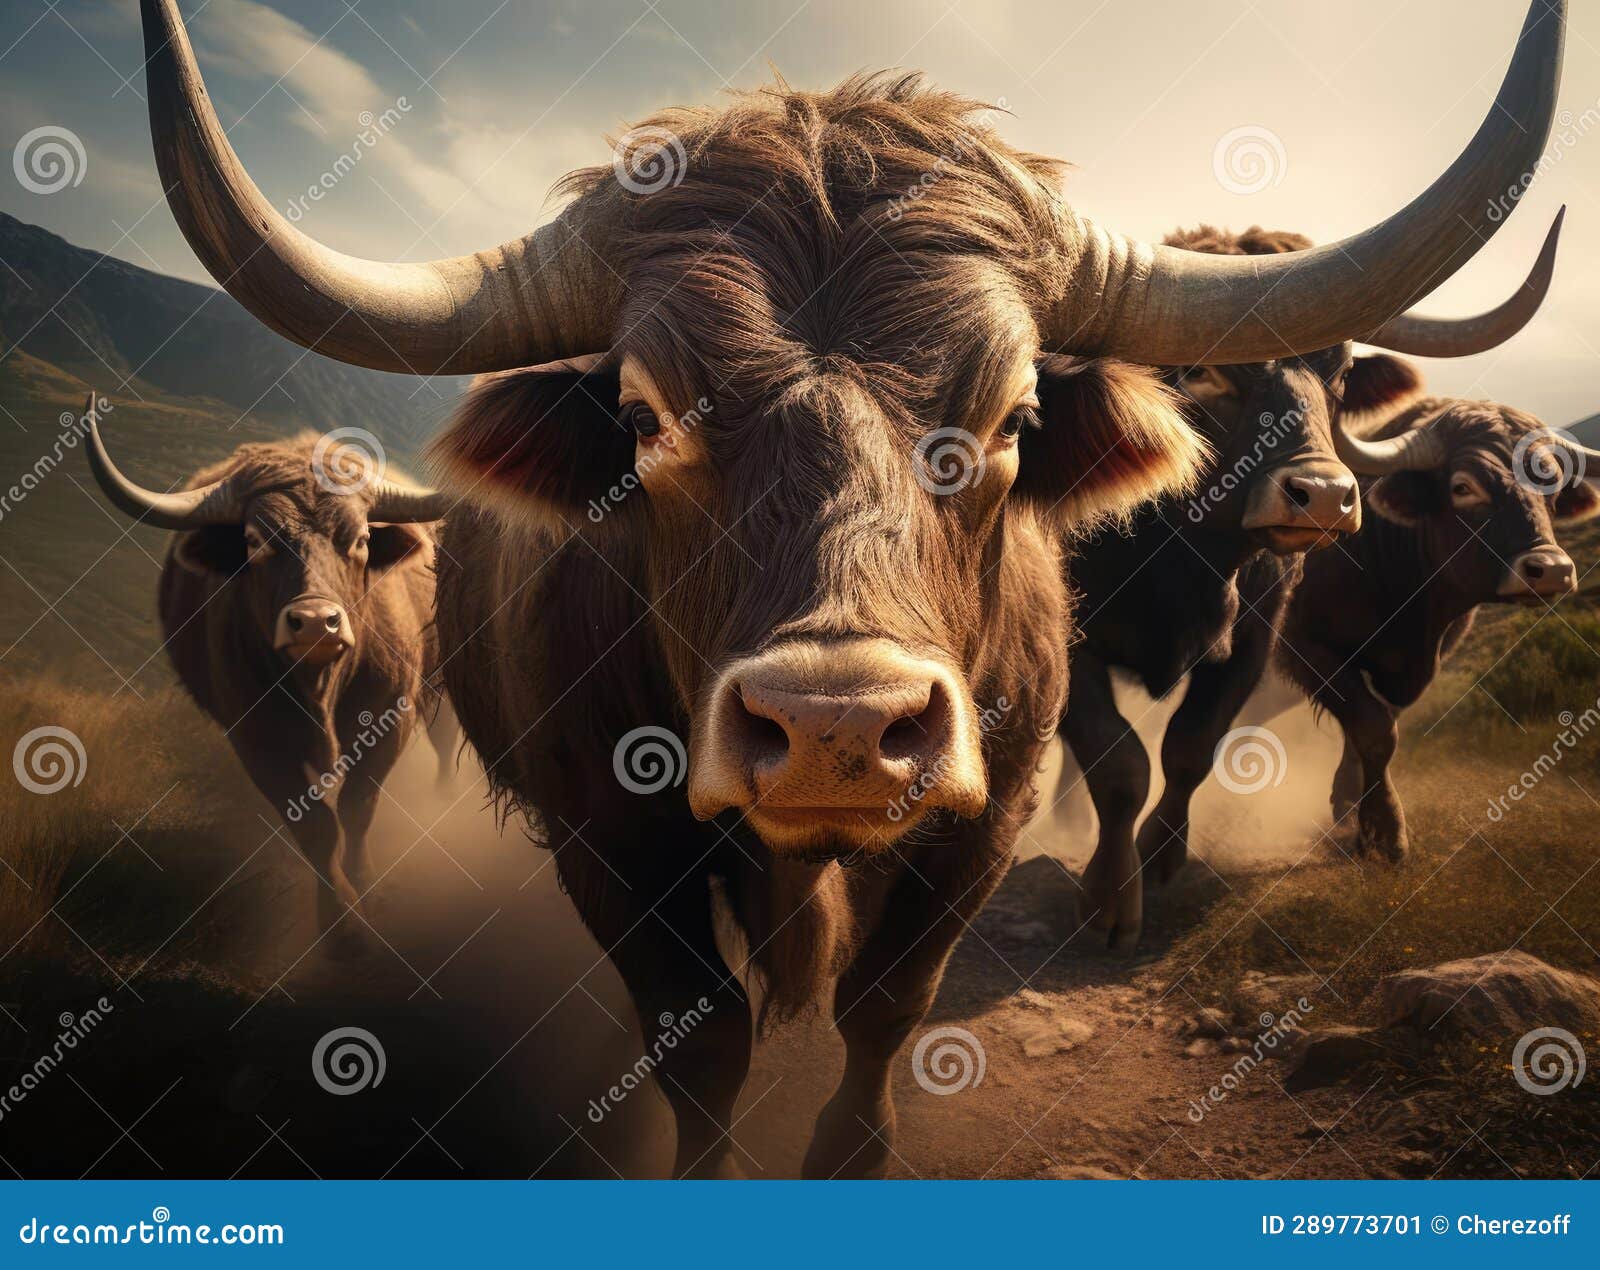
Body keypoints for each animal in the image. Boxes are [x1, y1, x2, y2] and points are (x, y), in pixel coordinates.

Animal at [83, 399, 455, 950]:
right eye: (256, 541)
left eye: (361, 538)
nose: (316, 621)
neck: (320, 685)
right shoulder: (255, 740)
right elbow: (316, 827)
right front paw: (341, 923)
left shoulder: (392, 714)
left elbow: (357, 807)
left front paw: (366, 888)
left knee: (445, 736)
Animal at [1058, 218, 1562, 950]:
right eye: (1199, 369)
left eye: (1342, 371)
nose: (1323, 496)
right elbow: (1116, 759)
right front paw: (1109, 898)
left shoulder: (1257, 642)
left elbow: (1195, 747)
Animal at [1277, 399, 1600, 861]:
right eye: (1463, 487)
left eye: (1552, 487)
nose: (1552, 571)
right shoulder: (1300, 646)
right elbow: (1374, 728)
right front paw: (1385, 831)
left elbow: (1371, 726)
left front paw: (1349, 802)